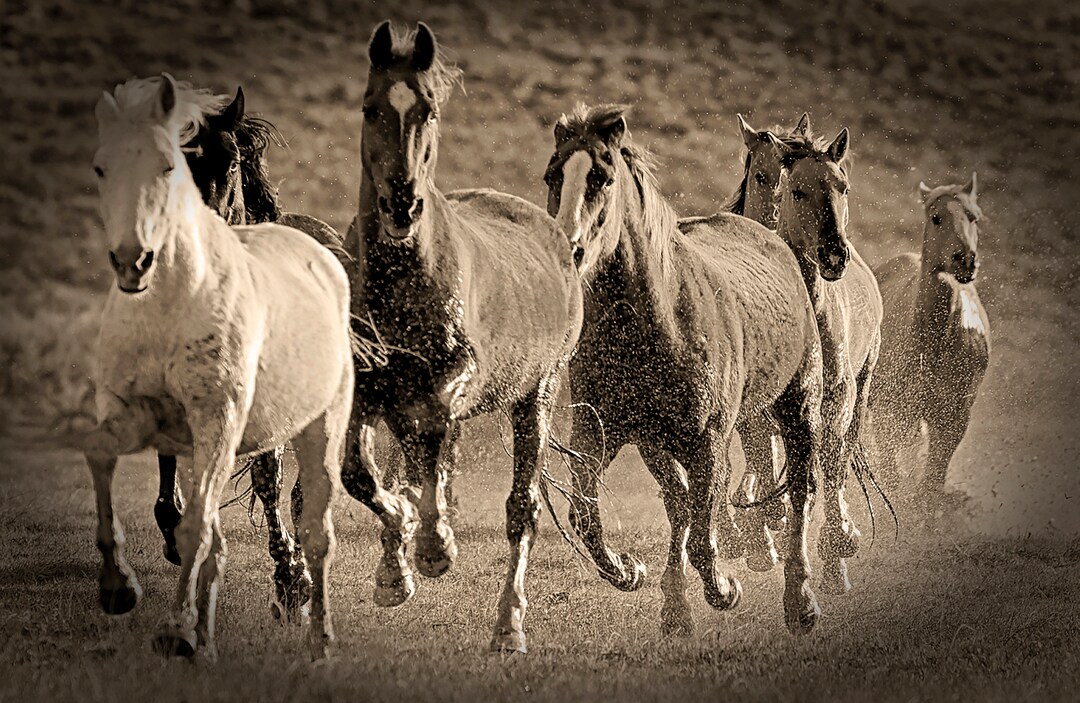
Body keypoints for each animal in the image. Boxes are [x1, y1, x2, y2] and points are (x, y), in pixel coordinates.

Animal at [338, 21, 583, 654]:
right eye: (369, 107)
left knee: (521, 509)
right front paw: (395, 567)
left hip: (536, 396)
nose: (402, 202)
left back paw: (508, 625)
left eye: (428, 110)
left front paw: (433, 546)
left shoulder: (452, 378)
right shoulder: (367, 390)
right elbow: (362, 475)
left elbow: (431, 444)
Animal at [544, 104, 825, 637]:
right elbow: (589, 515)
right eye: (553, 177)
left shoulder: (706, 441)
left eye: (603, 179)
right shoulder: (607, 433)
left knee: (799, 494)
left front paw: (725, 589)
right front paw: (632, 573)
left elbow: (701, 531)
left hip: (799, 409)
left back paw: (801, 601)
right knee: (679, 506)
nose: (566, 251)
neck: (656, 320)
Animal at [764, 125, 883, 593]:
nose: (834, 255)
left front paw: (838, 546)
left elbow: (831, 465)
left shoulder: (837, 396)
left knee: (841, 453)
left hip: (862, 388)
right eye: (798, 191)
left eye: (842, 187)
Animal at [868, 175, 989, 498]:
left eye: (974, 217)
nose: (965, 260)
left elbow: (930, 484)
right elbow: (892, 478)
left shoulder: (953, 420)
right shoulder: (888, 415)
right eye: (936, 217)